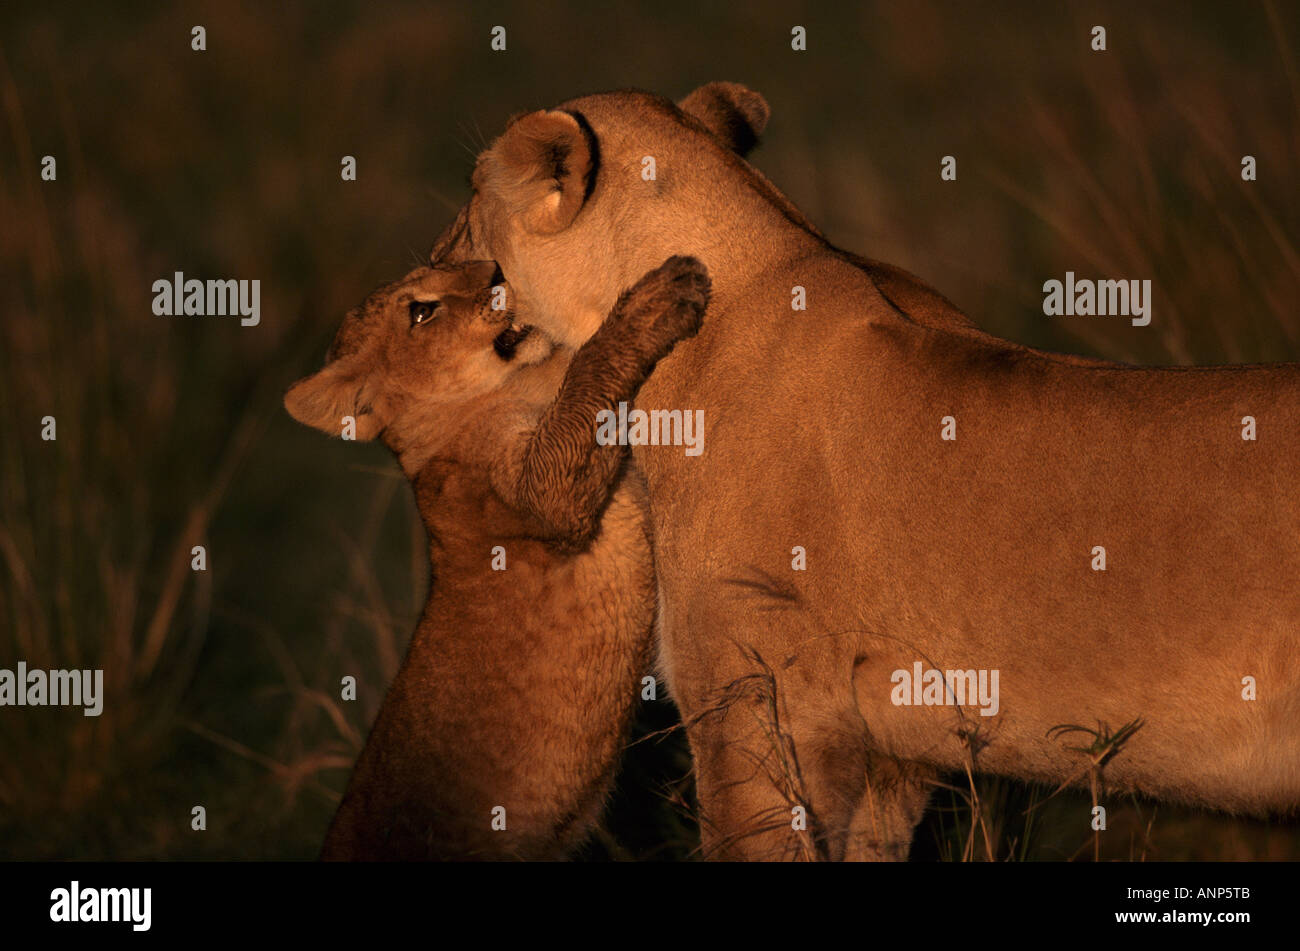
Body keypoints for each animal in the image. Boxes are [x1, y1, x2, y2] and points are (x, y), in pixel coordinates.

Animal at [284, 255, 710, 859]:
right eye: (421, 311)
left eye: (446, 265)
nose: (495, 271)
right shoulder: (543, 493)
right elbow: (587, 376)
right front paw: (655, 299)